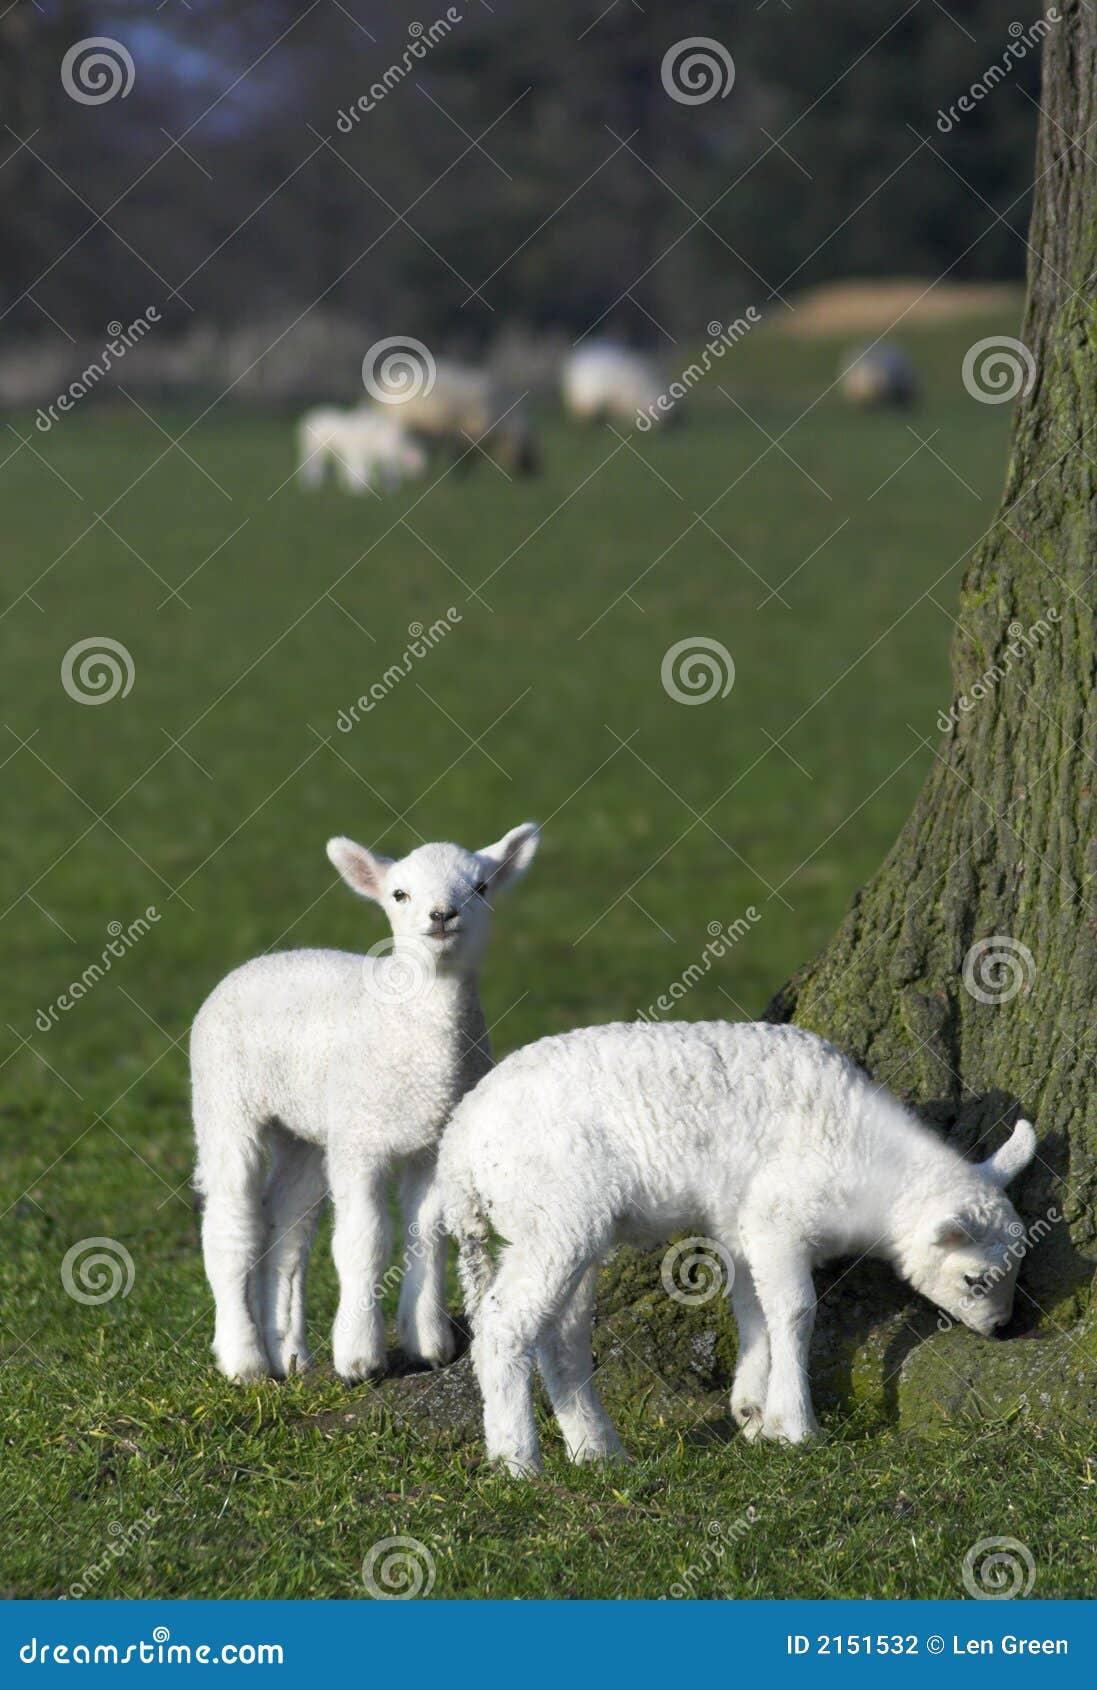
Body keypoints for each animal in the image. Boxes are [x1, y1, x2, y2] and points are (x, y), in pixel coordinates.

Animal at [191, 822, 539, 1385]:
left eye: (481, 887)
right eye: (399, 894)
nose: (442, 915)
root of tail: (260, 961)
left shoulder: (431, 1145)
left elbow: (427, 1235)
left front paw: (428, 1343)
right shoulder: (360, 1144)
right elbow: (365, 1240)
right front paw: (359, 1356)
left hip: (307, 1130)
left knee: (287, 1227)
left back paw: (290, 1355)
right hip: (223, 1097)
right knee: (231, 1222)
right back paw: (244, 1360)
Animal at [295, 406, 427, 492]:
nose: (421, 475)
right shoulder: (371, 453)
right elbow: (389, 471)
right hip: (314, 448)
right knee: (313, 464)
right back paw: (311, 482)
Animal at [439, 1019, 1038, 1474]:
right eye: (974, 1280)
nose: (1001, 1329)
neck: (873, 1169)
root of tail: (458, 1143)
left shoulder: (747, 1228)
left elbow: (757, 1312)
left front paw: (753, 1412)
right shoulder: (778, 1217)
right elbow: (795, 1311)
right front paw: (796, 1427)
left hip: (560, 1223)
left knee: (558, 1337)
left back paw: (598, 1452)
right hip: (552, 1212)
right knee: (502, 1327)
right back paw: (517, 1460)